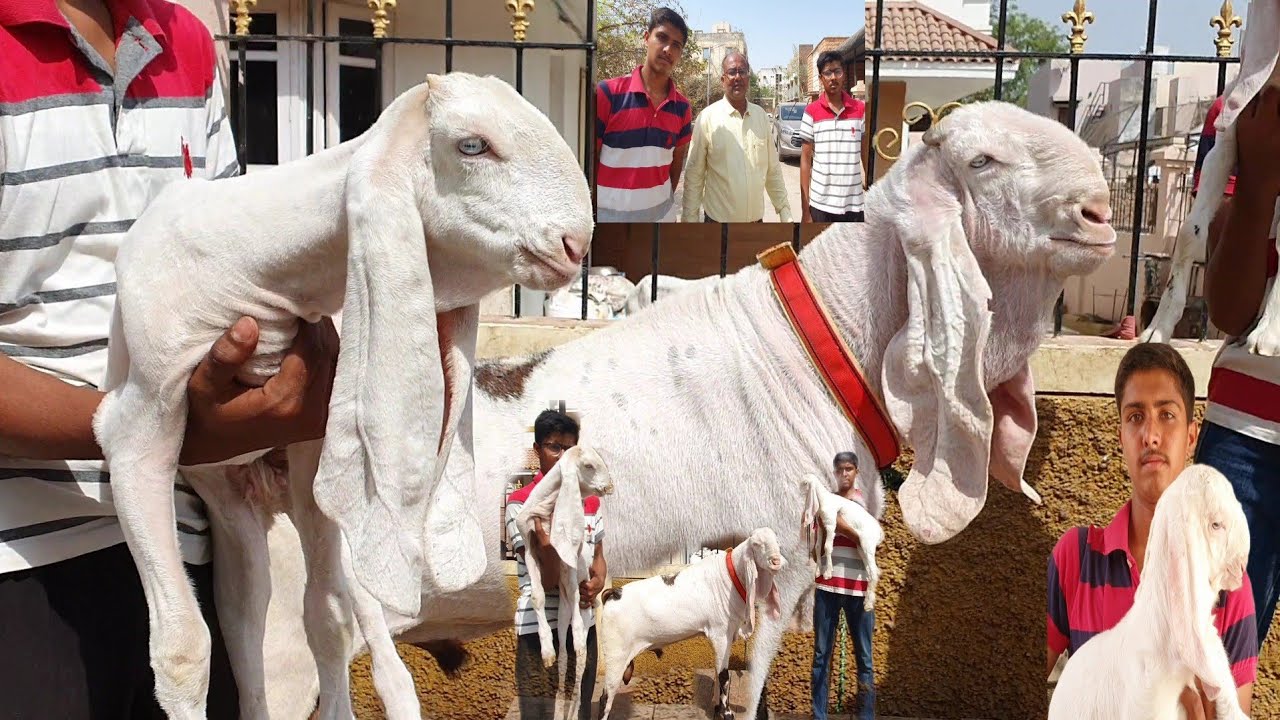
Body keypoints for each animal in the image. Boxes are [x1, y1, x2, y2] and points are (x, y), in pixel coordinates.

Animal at [91, 72, 592, 719]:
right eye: (472, 146)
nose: (576, 243)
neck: (256, 275)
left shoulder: (310, 433)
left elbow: (325, 622)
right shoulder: (137, 429)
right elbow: (182, 651)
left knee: (325, 624)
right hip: (231, 498)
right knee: (250, 628)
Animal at [596, 528, 786, 720]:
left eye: (777, 541)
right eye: (756, 544)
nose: (776, 561)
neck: (731, 579)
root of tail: (613, 593)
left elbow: (718, 672)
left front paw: (717, 709)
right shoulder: (720, 634)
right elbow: (724, 675)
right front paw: (726, 713)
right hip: (615, 654)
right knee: (605, 697)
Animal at [799, 474, 883, 610]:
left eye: (805, 483)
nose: (799, 491)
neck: (824, 498)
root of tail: (879, 531)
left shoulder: (831, 524)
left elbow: (827, 547)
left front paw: (828, 573)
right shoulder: (822, 527)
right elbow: (818, 547)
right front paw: (818, 572)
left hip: (868, 545)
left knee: (875, 572)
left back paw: (868, 604)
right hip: (861, 547)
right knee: (870, 572)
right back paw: (868, 600)